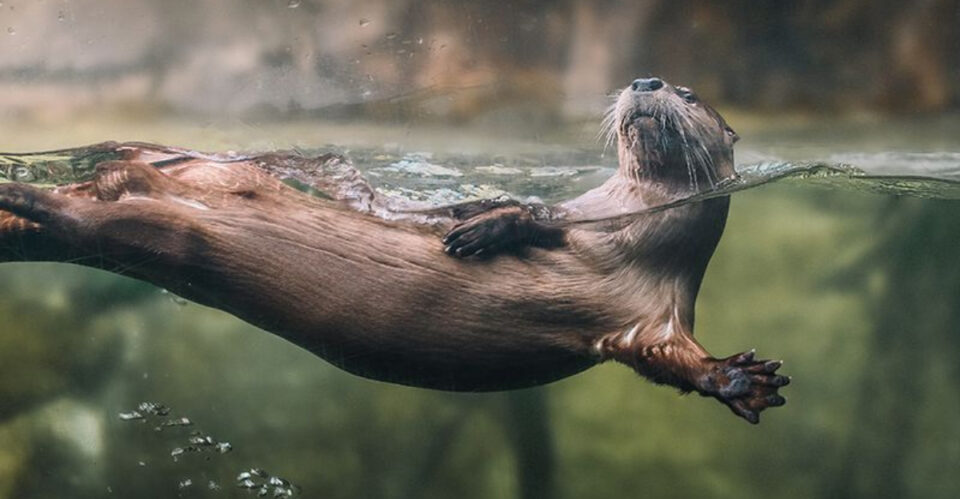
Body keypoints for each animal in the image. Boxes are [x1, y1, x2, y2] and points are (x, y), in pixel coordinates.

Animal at [0, 77, 787, 424]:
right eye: (653, 80)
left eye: (689, 92)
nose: (648, 79)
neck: (628, 229)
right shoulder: (581, 219)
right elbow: (533, 216)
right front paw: (476, 224)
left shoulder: (651, 309)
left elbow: (668, 358)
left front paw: (739, 379)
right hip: (172, 207)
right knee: (99, 198)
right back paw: (26, 193)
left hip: (159, 231)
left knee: (89, 211)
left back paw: (22, 203)